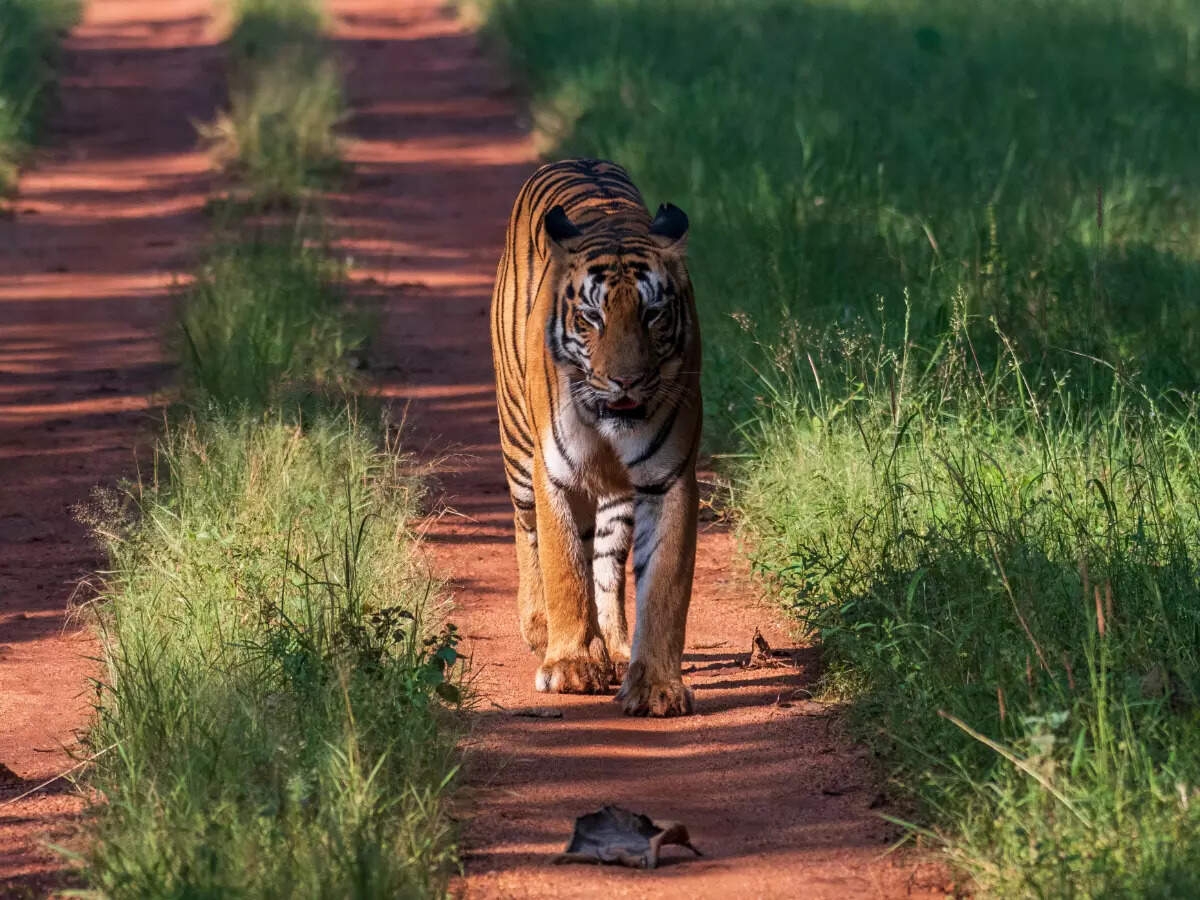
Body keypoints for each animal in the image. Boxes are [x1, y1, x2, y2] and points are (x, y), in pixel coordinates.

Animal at [489, 158, 701, 717]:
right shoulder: (554, 474)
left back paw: (616, 645)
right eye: (591, 317)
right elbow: (563, 567)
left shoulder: (667, 477)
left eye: (652, 314)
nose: (625, 380)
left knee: (605, 560)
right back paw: (541, 629)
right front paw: (568, 665)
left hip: (615, 497)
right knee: (527, 531)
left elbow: (664, 584)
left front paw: (655, 686)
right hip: (519, 449)